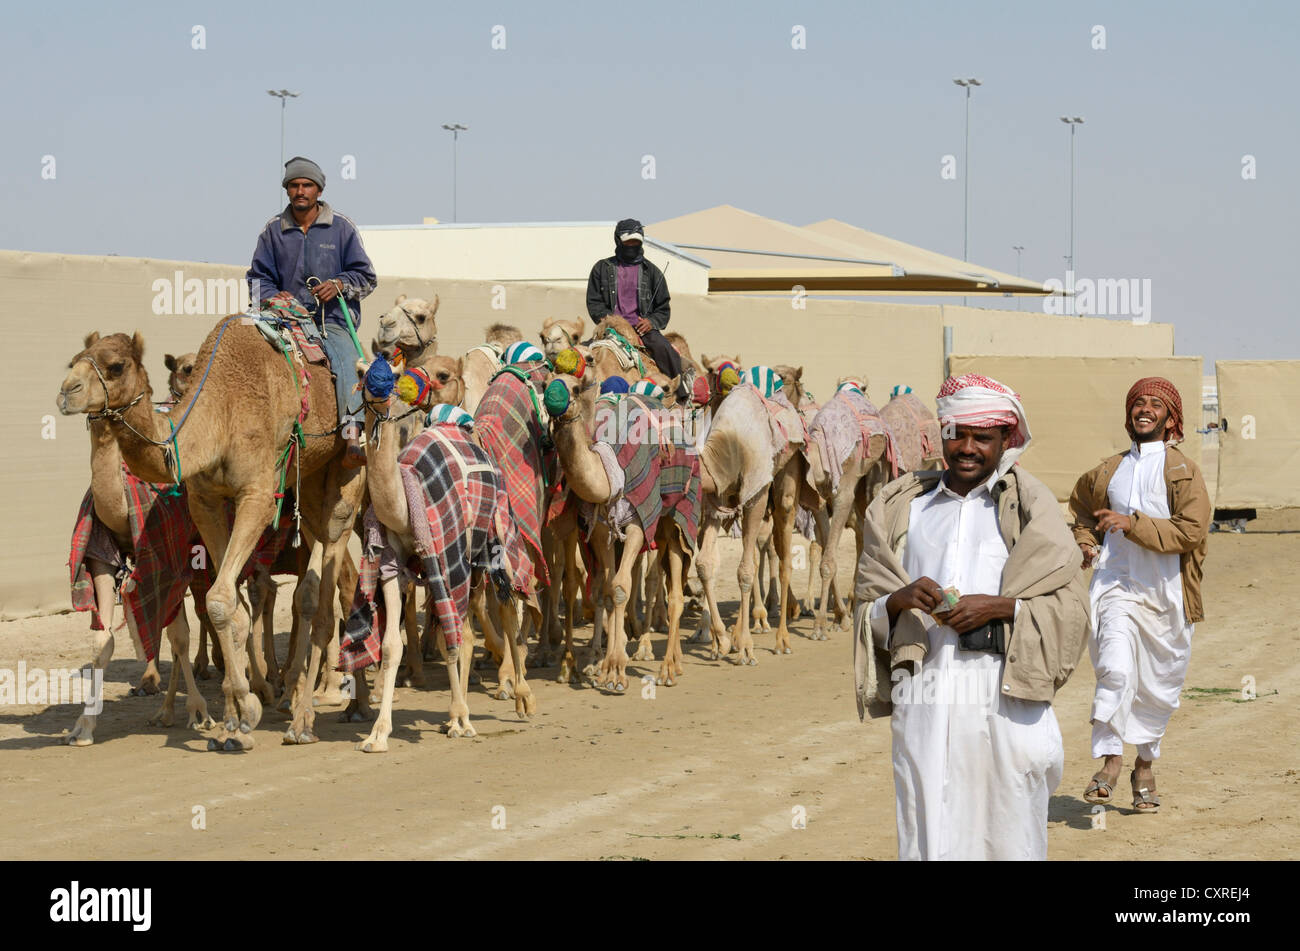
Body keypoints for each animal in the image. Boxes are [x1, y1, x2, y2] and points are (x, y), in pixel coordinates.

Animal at [58, 321, 367, 752]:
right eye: (74, 360)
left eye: (116, 365)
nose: (66, 391)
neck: (217, 415)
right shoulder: (202, 503)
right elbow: (226, 610)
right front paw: (233, 720)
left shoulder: (255, 496)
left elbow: (217, 603)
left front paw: (242, 709)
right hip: (307, 494)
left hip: (346, 476)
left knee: (324, 595)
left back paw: (309, 713)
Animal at [544, 365, 695, 690]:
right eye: (546, 382)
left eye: (576, 388)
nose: (553, 398)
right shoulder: (602, 529)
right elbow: (610, 590)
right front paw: (603, 666)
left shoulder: (638, 521)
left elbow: (623, 587)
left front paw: (615, 671)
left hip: (674, 518)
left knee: (674, 589)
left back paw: (668, 667)